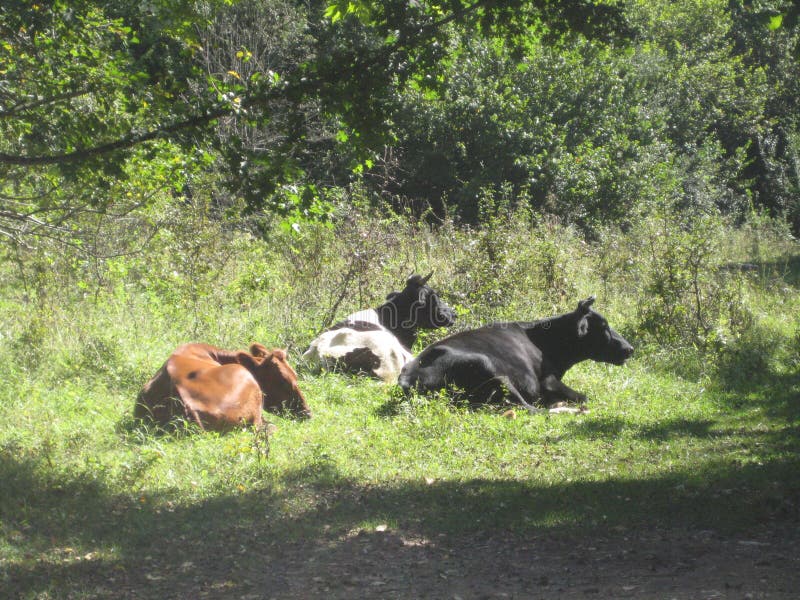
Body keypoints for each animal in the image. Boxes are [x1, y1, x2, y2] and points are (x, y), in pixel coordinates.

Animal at [398, 297, 633, 413]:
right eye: (603, 327)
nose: (629, 348)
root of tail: (407, 376)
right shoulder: (547, 381)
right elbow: (584, 396)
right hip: (489, 368)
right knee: (528, 408)